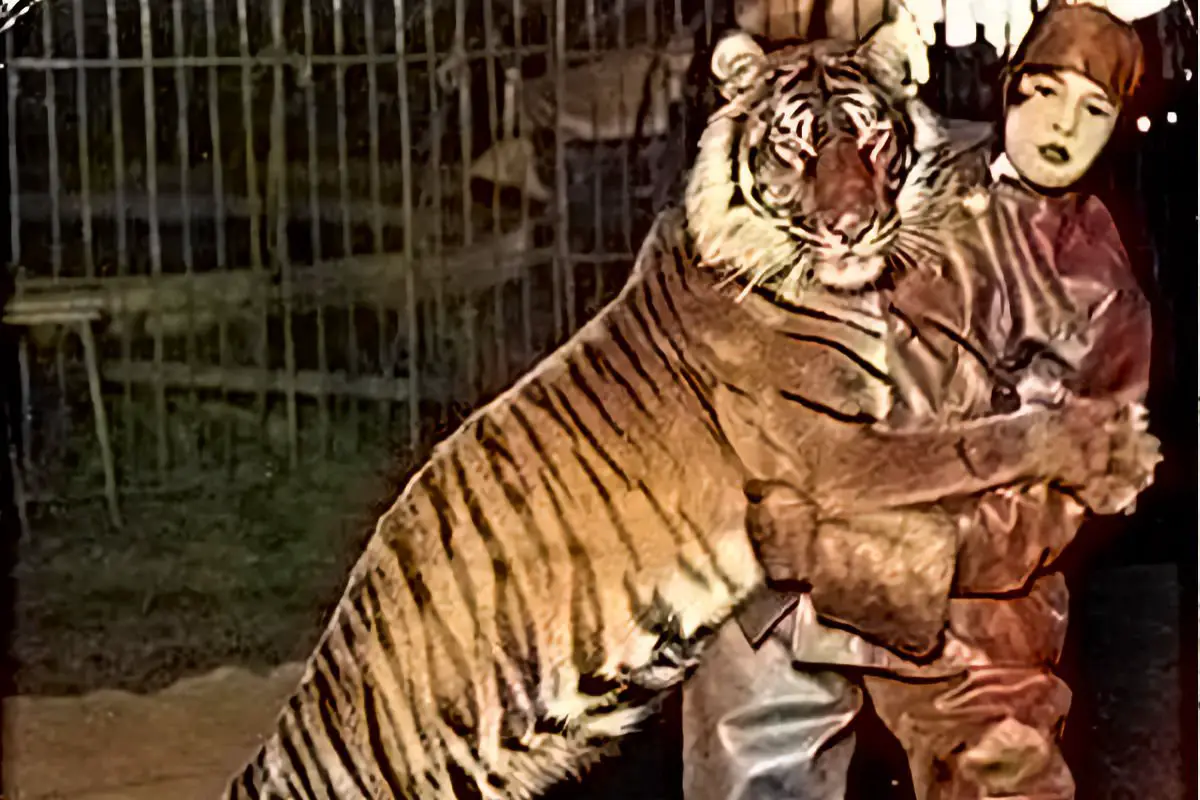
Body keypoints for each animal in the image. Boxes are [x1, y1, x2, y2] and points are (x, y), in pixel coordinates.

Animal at [219, 19, 1152, 800]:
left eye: (872, 135)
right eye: (795, 143)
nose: (851, 226)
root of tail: (288, 741)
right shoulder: (839, 456)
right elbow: (980, 442)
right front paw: (1112, 451)